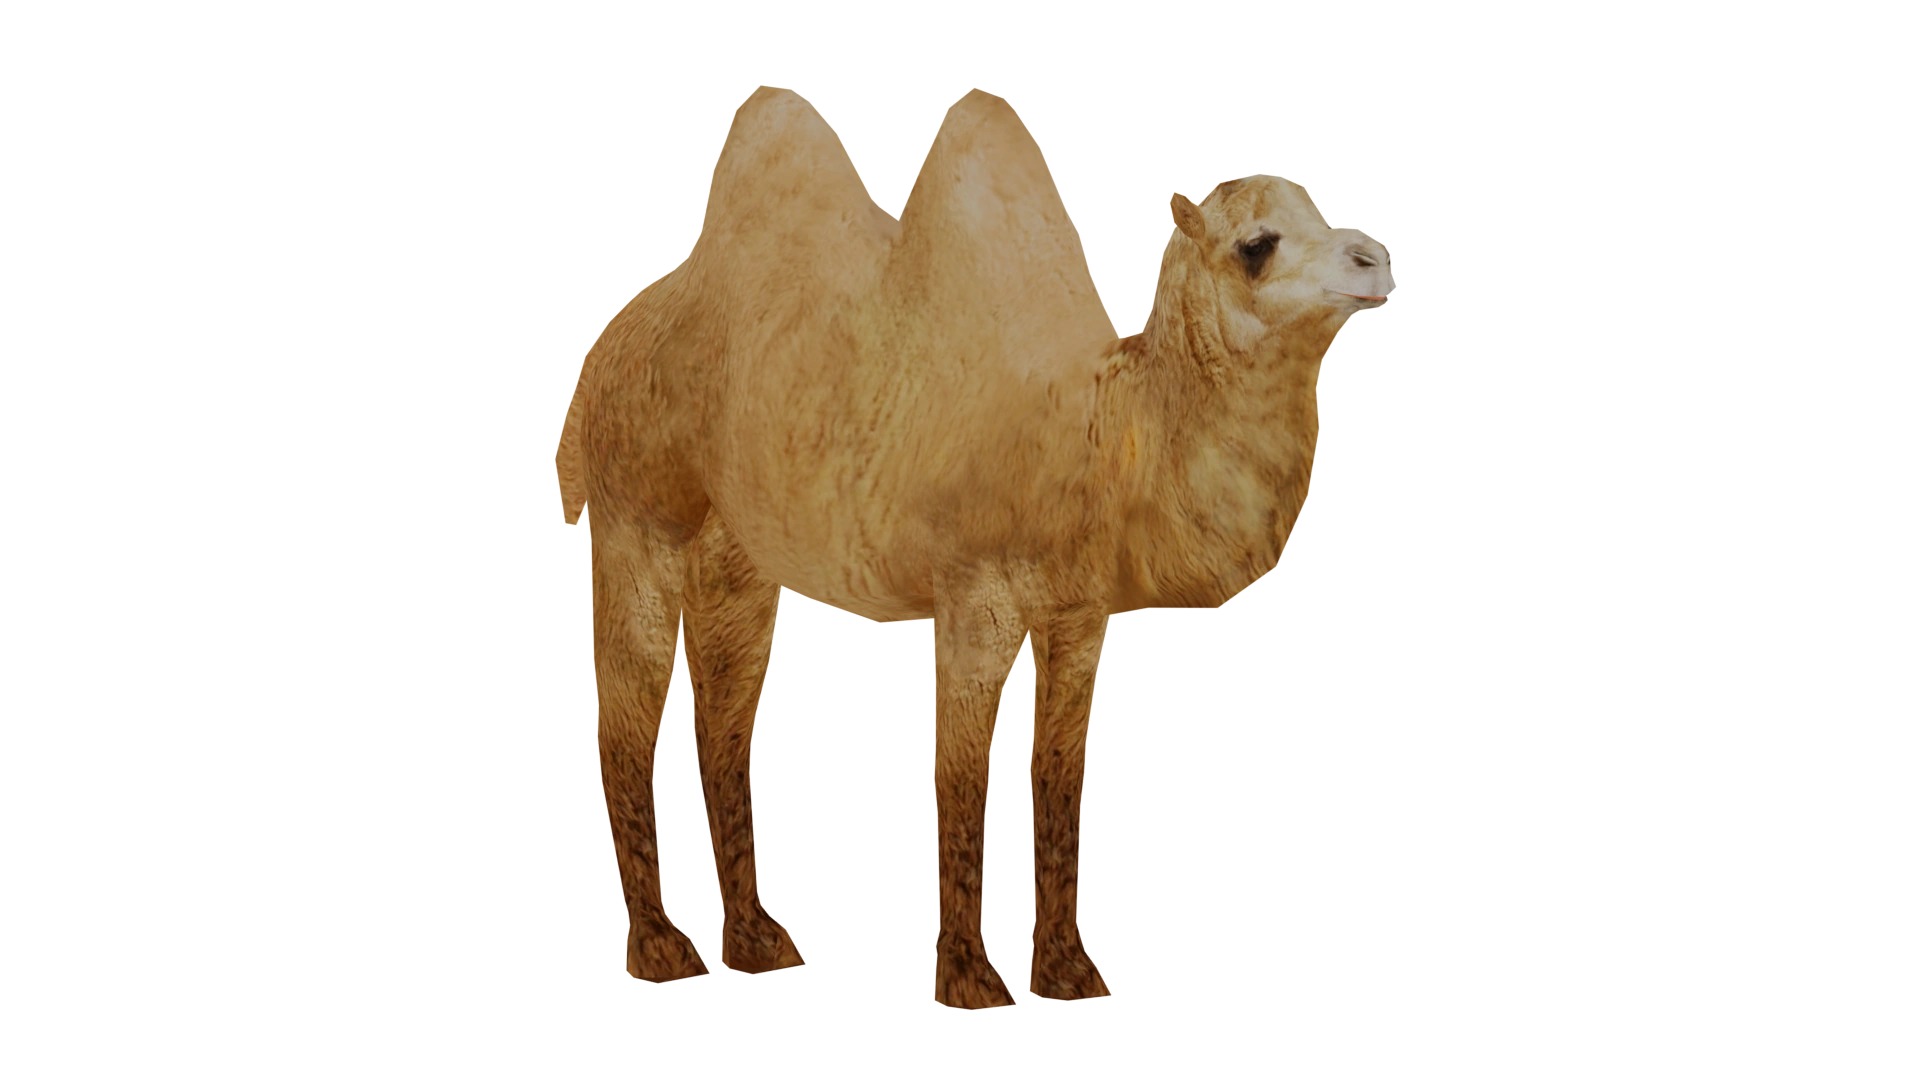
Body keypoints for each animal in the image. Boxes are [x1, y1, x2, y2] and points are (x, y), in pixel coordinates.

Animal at [553, 83, 1395, 1009]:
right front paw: (969, 981)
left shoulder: (1078, 615)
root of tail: (607, 345)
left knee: (724, 709)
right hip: (635, 514)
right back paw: (660, 950)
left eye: (1319, 211)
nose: (1374, 260)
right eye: (1257, 243)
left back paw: (756, 941)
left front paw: (1066, 971)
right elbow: (962, 782)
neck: (1100, 437)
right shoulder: (974, 599)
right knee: (626, 716)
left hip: (736, 552)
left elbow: (1059, 781)